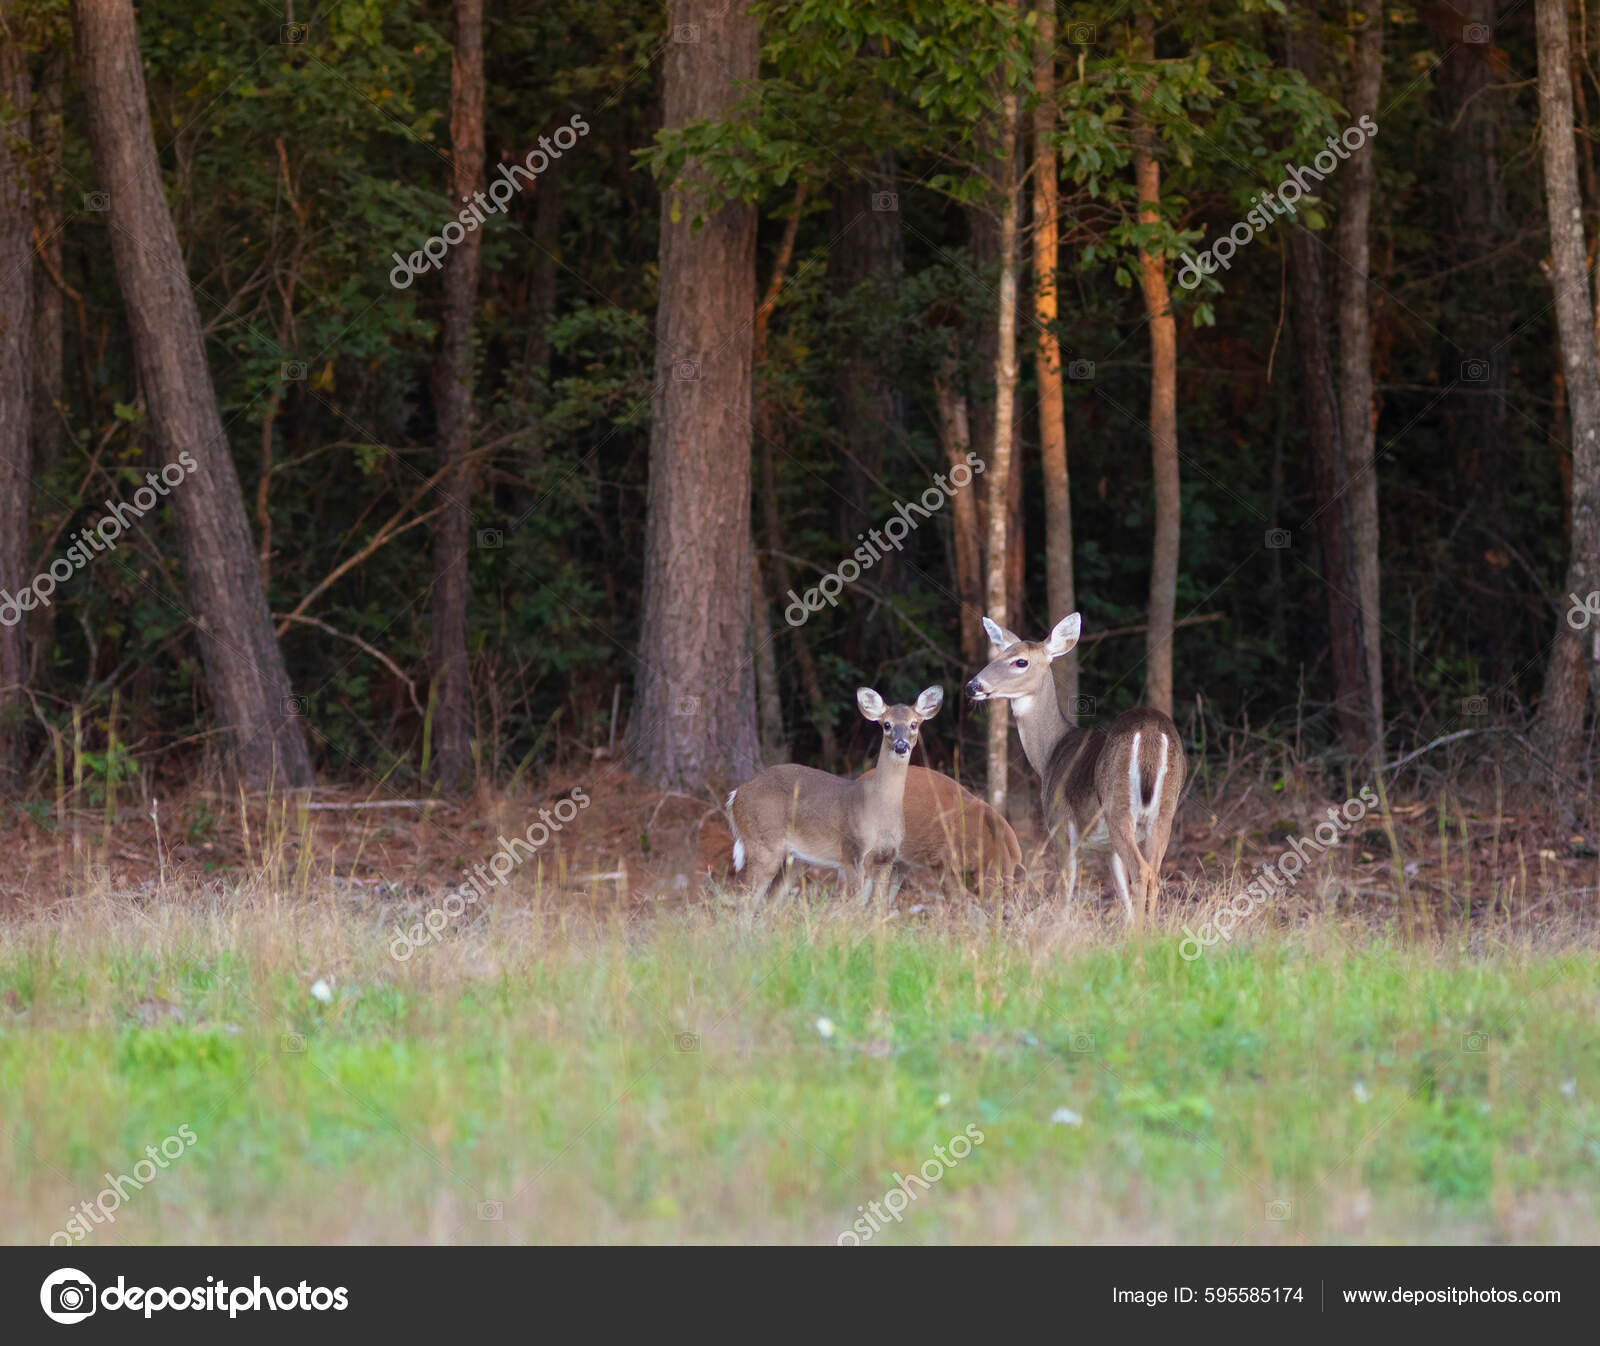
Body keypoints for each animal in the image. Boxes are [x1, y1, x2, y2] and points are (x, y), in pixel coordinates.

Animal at [727, 686, 944, 905]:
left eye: (914, 724)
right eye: (887, 724)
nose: (901, 746)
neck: (878, 810)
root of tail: (736, 795)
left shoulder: (887, 858)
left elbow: (879, 906)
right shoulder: (852, 851)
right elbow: (854, 905)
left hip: (796, 859)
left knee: (769, 901)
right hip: (763, 843)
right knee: (746, 900)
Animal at [965, 613, 1185, 925]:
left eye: (1020, 661)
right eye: (998, 654)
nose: (973, 686)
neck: (1048, 755)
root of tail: (1151, 732)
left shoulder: (1060, 824)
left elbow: (1065, 890)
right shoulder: (1107, 847)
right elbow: (1121, 891)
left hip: (1119, 808)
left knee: (1142, 872)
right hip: (1164, 812)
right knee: (1153, 871)